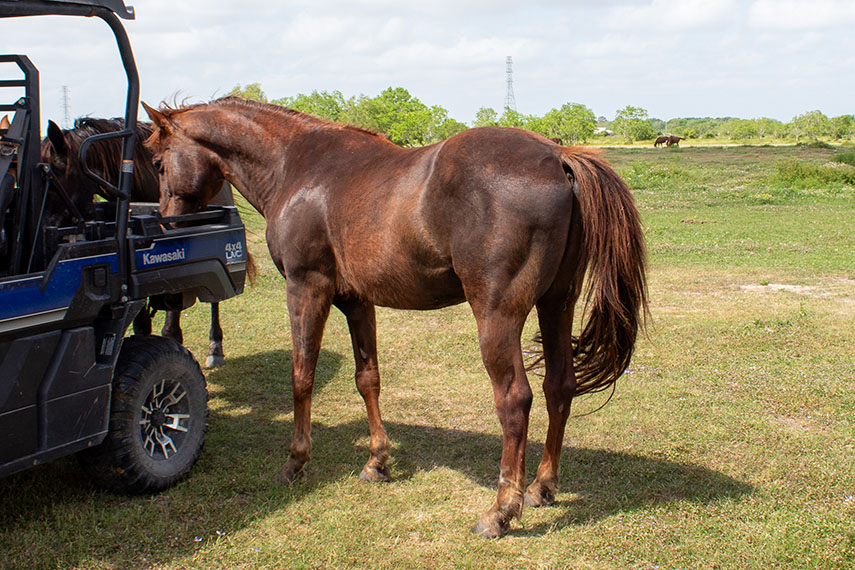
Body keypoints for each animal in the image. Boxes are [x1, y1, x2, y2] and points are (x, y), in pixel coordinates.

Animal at [142, 97, 648, 538]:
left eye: (159, 162)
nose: (163, 222)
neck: (298, 167)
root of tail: (557, 156)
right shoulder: (356, 301)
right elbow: (368, 378)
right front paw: (377, 461)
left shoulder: (306, 288)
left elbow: (302, 376)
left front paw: (296, 460)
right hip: (556, 304)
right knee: (558, 387)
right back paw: (542, 486)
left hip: (498, 316)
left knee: (514, 401)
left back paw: (502, 510)